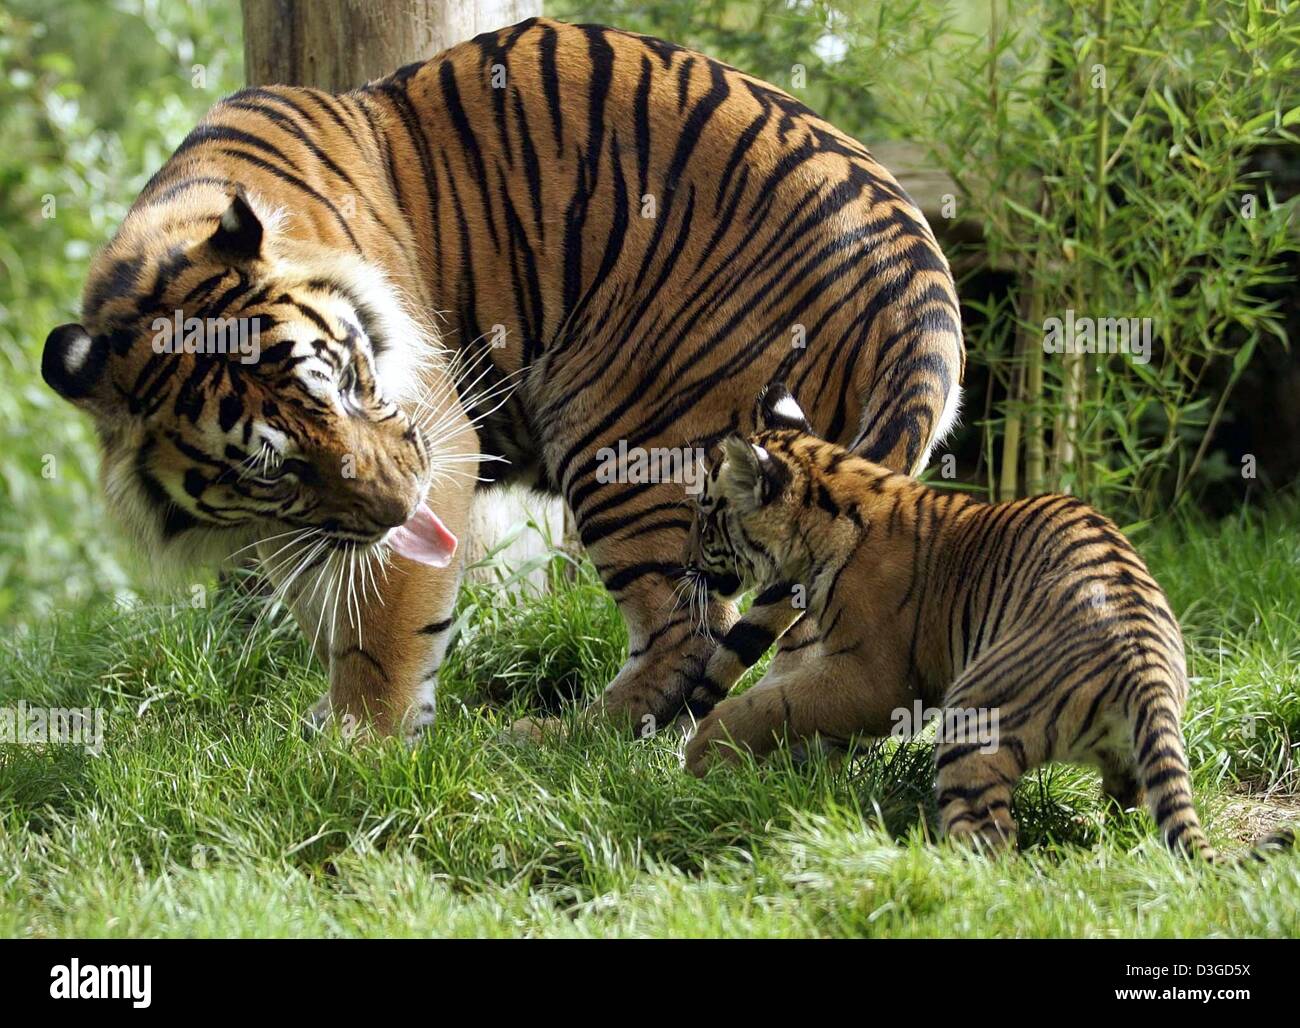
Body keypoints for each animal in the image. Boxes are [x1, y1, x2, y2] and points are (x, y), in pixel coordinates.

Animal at [41, 18, 963, 741]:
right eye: (269, 467)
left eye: (343, 382)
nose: (400, 508)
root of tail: (912, 265)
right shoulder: (306, 518)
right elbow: (327, 590)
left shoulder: (434, 431)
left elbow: (383, 619)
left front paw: (359, 748)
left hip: (628, 437)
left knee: (691, 631)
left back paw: (559, 739)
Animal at [681, 383, 1296, 861]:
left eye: (707, 514)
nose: (683, 566)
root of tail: (1144, 663)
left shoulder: (877, 680)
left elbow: (775, 703)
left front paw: (704, 751)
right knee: (1131, 801)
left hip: (974, 714)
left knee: (990, 843)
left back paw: (915, 863)